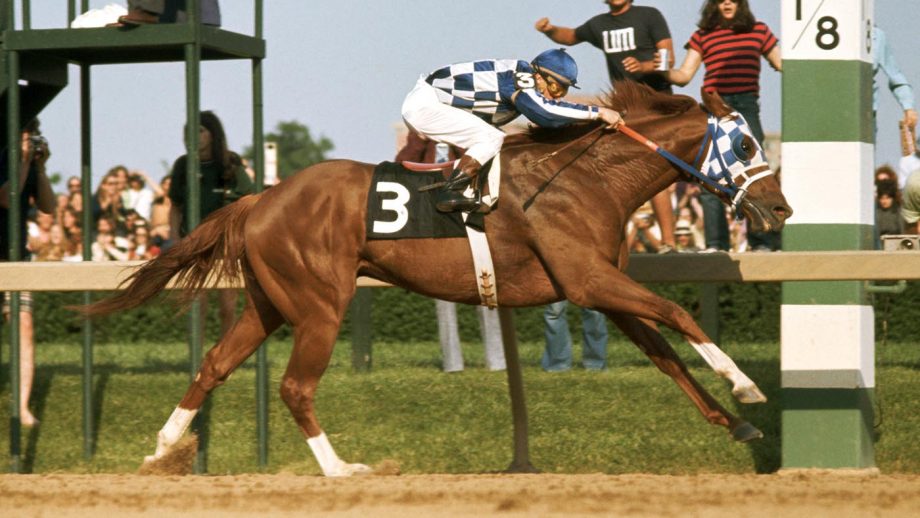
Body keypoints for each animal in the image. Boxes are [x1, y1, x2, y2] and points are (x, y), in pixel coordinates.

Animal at [82, 81, 792, 476]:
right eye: (747, 146)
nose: (780, 209)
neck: (588, 178)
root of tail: (261, 197)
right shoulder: (587, 282)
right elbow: (679, 315)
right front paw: (748, 388)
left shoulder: (598, 290)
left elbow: (664, 351)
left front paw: (736, 424)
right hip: (320, 305)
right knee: (294, 387)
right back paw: (343, 470)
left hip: (270, 302)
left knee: (213, 366)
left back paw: (162, 450)